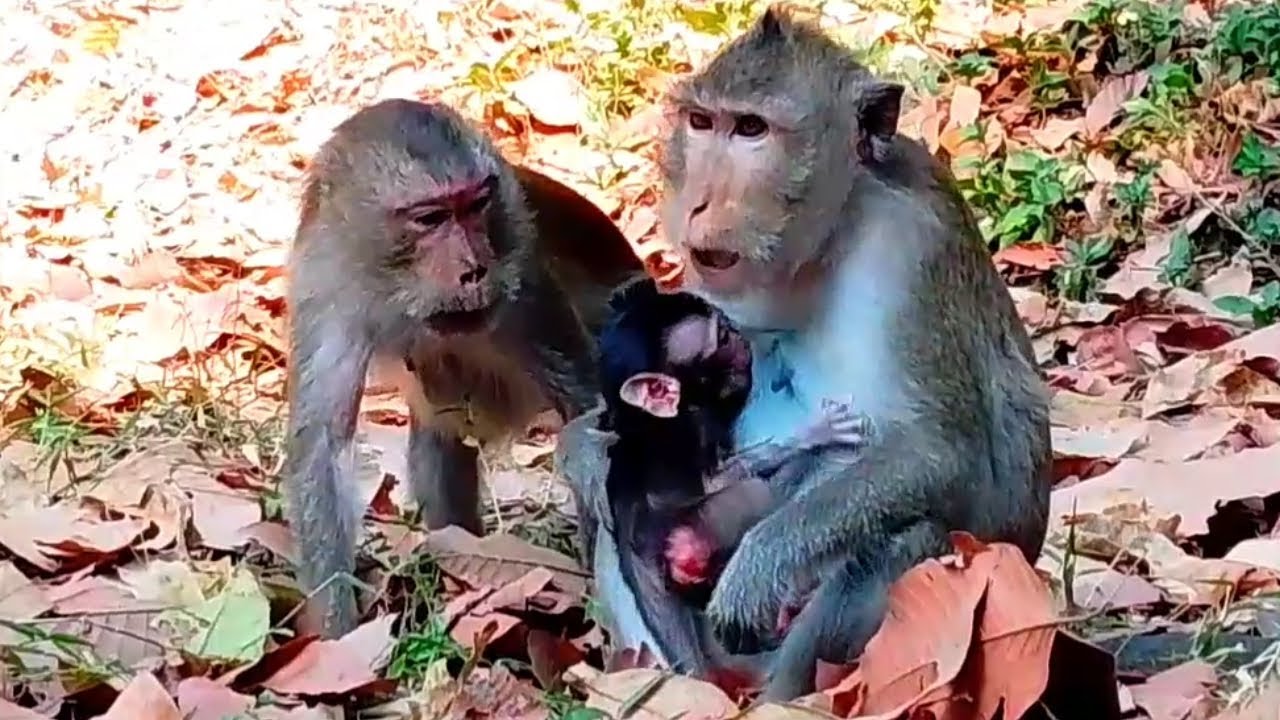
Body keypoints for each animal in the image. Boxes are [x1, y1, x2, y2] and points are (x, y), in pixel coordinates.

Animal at [283, 98, 643, 637]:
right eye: (431, 218)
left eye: (476, 206)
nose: (474, 269)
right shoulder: (322, 289)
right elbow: (322, 446)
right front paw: (336, 631)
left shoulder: (524, 280)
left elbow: (588, 404)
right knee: (439, 446)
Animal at [556, 278, 870, 679]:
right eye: (719, 337)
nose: (739, 334)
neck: (641, 417)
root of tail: (640, 545)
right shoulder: (695, 428)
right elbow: (719, 477)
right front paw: (814, 434)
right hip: (703, 528)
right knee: (753, 492)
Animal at [649, 4, 1053, 700]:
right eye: (702, 123)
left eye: (752, 129)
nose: (697, 203)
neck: (824, 240)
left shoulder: (912, 248)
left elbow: (935, 452)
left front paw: (758, 565)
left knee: (905, 539)